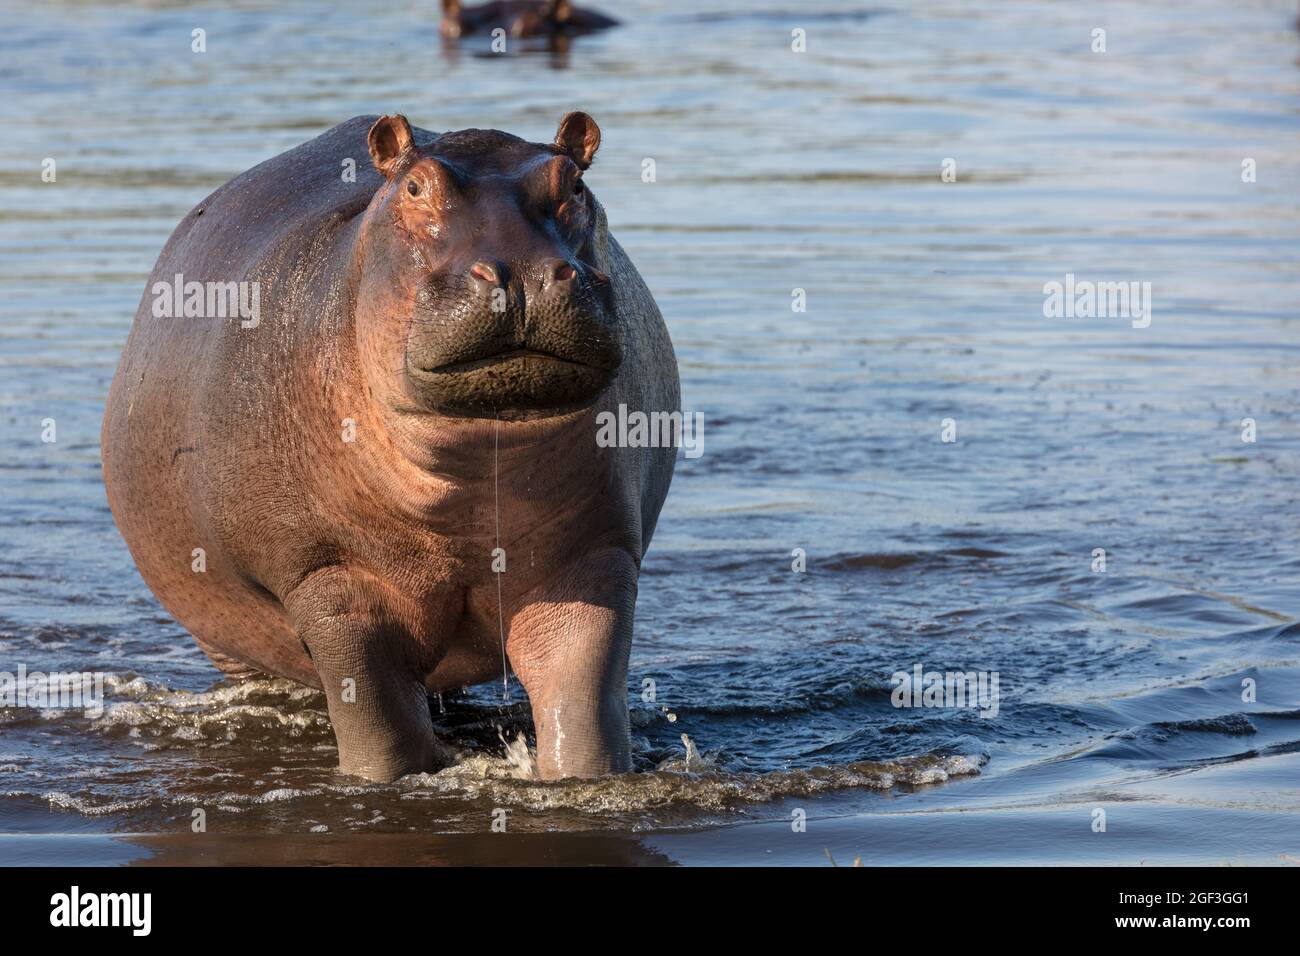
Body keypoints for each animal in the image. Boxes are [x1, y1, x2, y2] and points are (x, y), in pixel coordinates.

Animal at [101, 112, 679, 782]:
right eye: (415, 187)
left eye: (576, 185)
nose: (523, 272)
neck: (468, 471)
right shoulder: (326, 575)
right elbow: (380, 727)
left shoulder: (596, 553)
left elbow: (582, 701)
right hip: (229, 639)